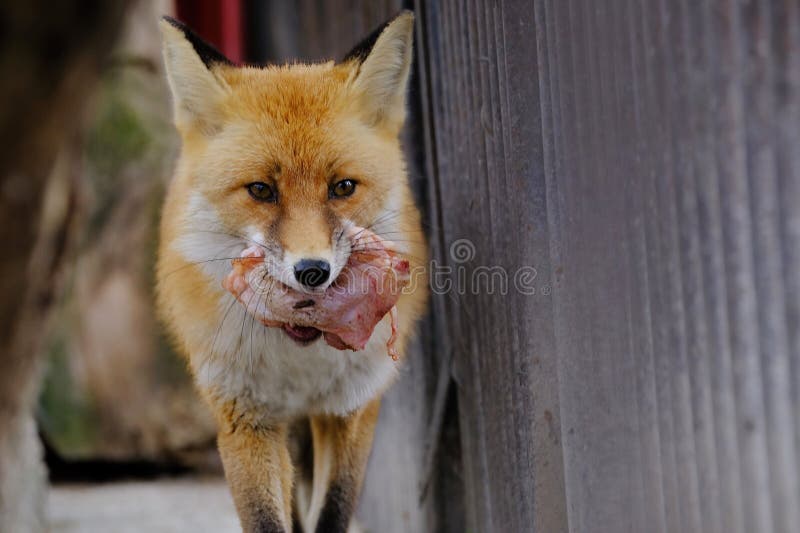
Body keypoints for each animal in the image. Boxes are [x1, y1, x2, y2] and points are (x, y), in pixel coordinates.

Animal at [156, 11, 427, 533]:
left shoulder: (351, 408)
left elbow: (334, 510)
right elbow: (267, 518)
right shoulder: (245, 418)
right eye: (261, 190)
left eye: (343, 187)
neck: (300, 358)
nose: (313, 271)